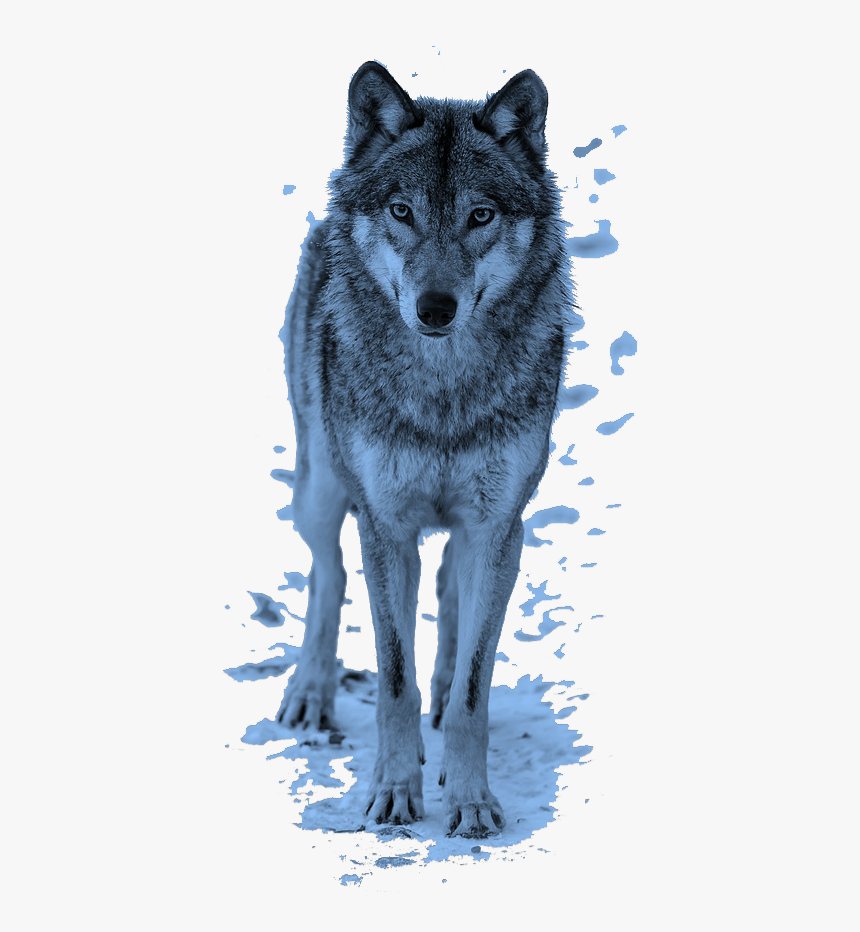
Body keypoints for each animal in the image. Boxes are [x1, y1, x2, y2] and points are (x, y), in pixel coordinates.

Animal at [278, 61, 575, 837]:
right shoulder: (386, 525)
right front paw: (393, 793)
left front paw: (469, 801)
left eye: (480, 216)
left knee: (448, 595)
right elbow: (392, 677)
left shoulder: (498, 526)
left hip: (475, 533)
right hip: (320, 489)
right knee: (329, 575)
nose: (435, 308)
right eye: (402, 211)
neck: (443, 395)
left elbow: (474, 686)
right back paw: (310, 694)